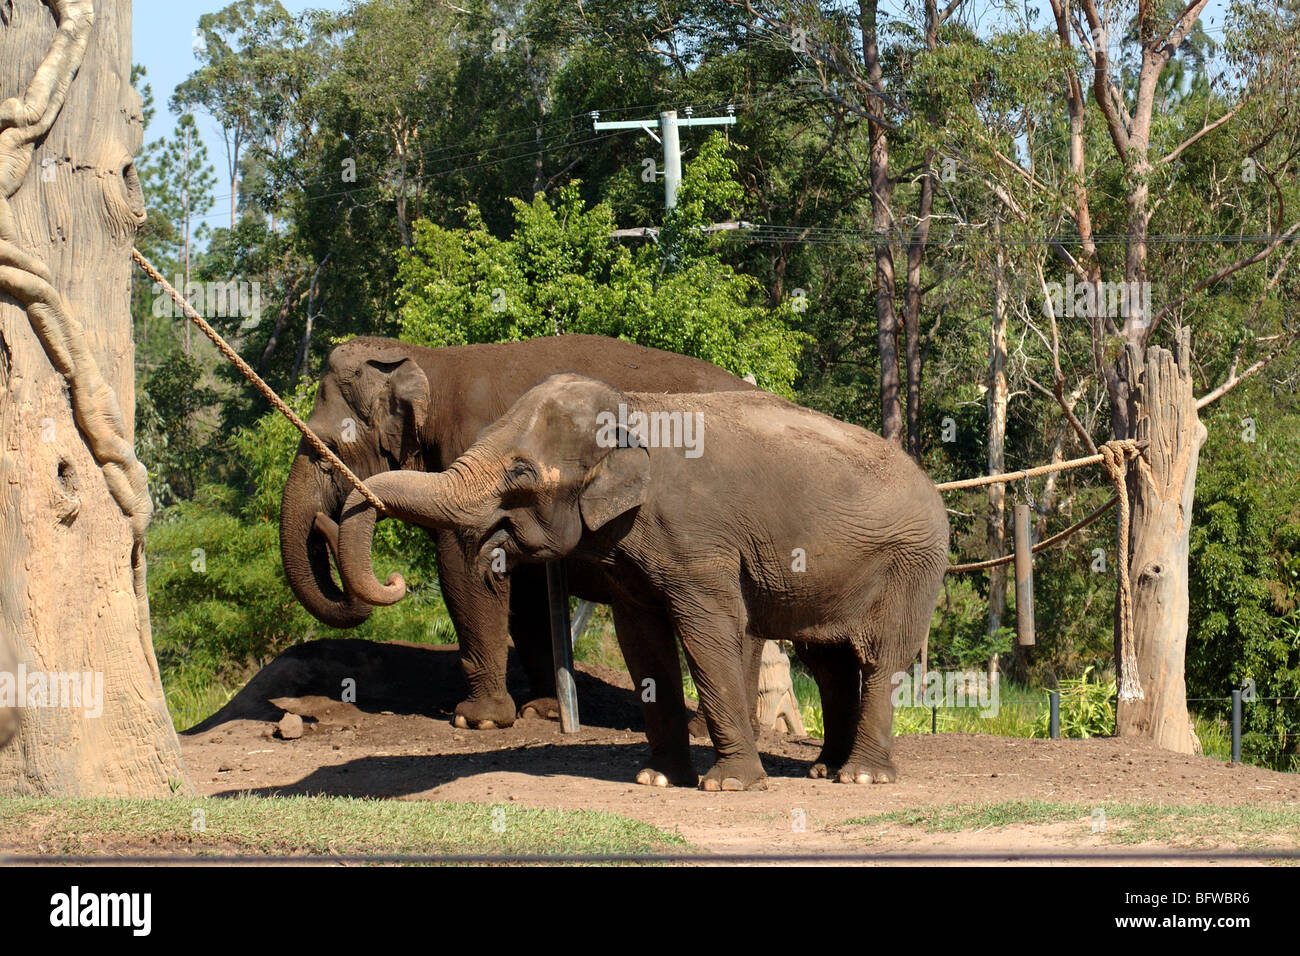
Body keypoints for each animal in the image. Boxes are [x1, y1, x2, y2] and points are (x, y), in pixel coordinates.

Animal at [279, 334, 758, 731]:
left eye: (327, 448)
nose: (324, 521)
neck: (430, 362)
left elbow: (464, 568)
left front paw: (478, 720)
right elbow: (525, 590)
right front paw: (541, 710)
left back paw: (702, 730)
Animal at [333, 373, 950, 790]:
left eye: (521, 473)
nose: (393, 581)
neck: (635, 404)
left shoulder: (700, 543)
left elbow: (709, 635)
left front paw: (729, 785)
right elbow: (641, 643)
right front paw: (657, 779)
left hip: (912, 564)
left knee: (882, 658)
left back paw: (862, 777)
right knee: (827, 662)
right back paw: (824, 770)